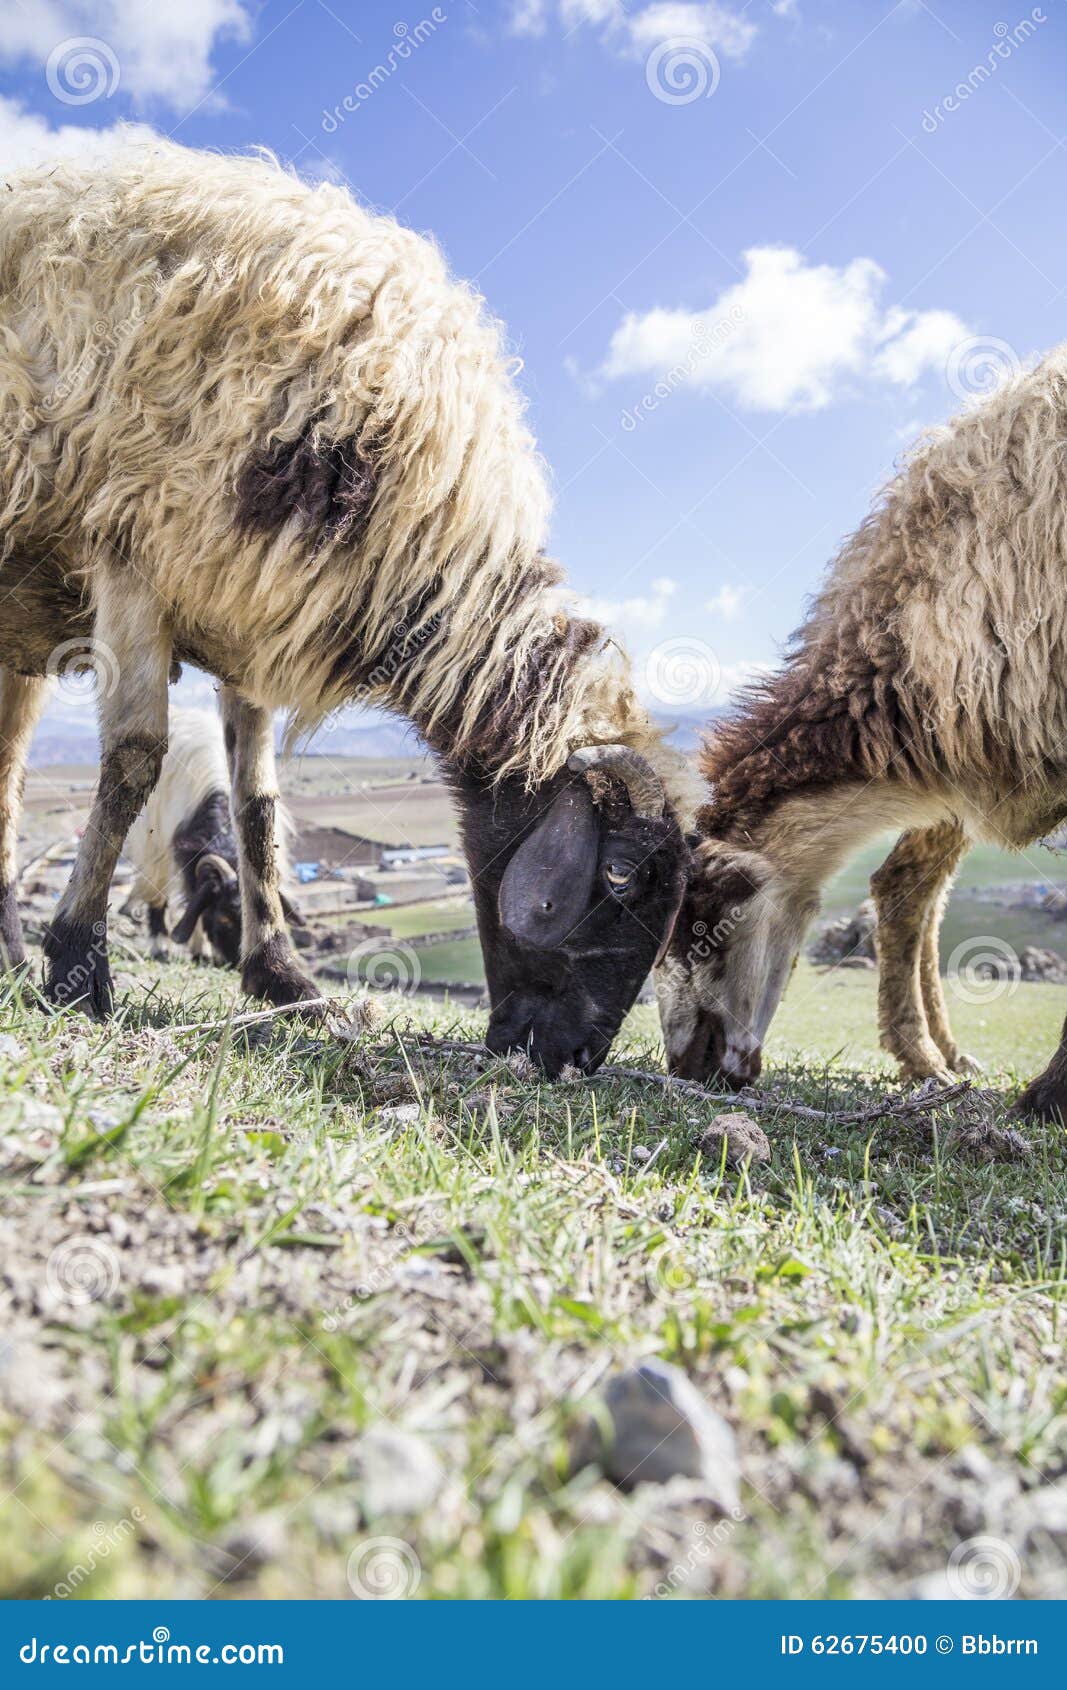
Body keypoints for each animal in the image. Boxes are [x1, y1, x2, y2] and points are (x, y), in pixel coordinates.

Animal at [124, 707, 302, 967]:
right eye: (224, 918)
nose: (237, 964)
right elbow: (191, 896)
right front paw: (199, 950)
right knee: (156, 888)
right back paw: (160, 945)